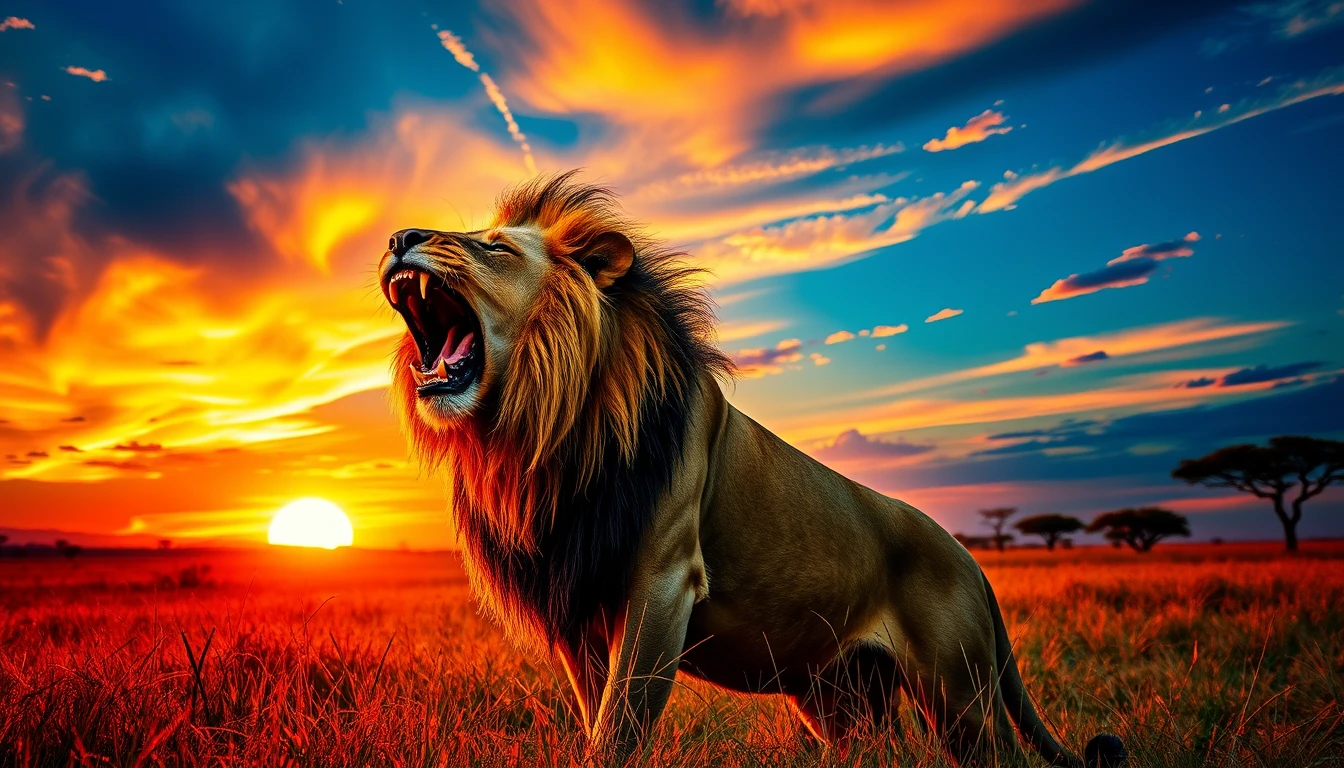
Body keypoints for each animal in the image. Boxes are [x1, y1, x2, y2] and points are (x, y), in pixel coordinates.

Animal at [378, 172, 1126, 767]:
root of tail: (972, 560)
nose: (398, 236)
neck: (543, 431)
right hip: (842, 697)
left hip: (959, 695)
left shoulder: (664, 578)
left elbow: (619, 726)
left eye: (494, 248)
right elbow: (597, 717)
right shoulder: (577, 599)